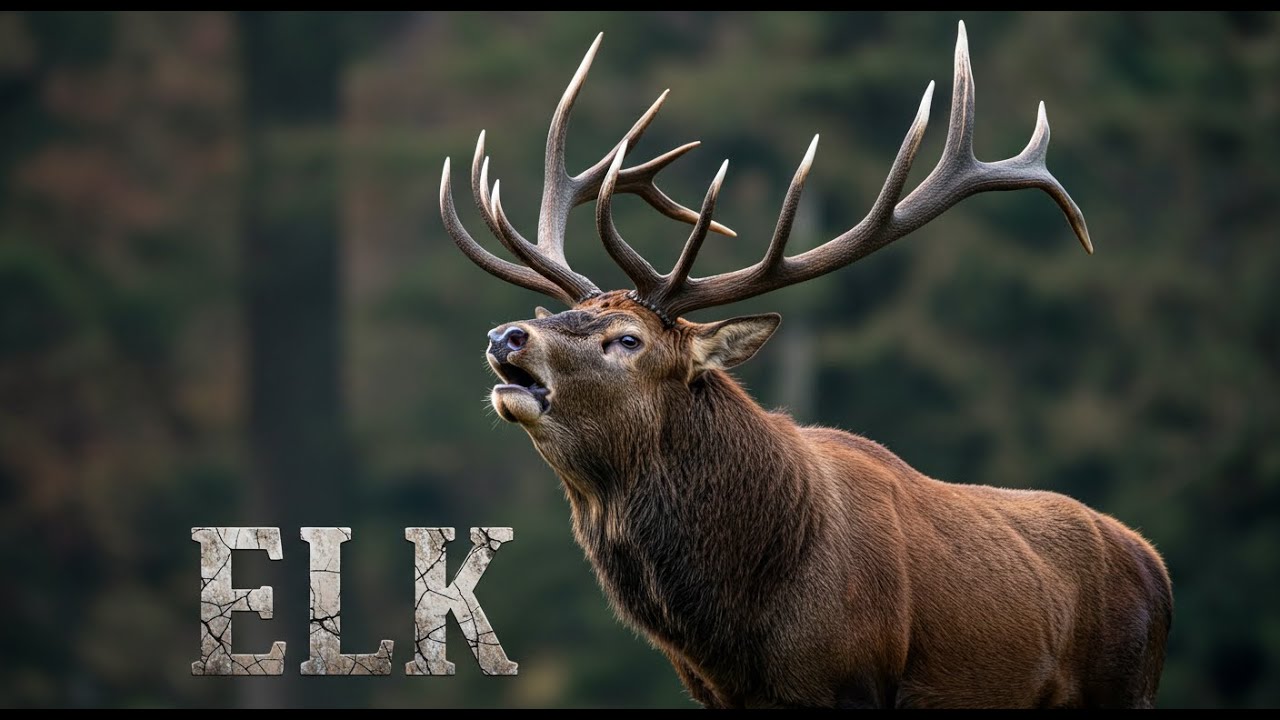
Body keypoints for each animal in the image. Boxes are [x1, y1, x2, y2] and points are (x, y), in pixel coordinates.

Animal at [437, 23, 1171, 709]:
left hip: (1123, 687)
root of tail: (1157, 569)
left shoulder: (852, 680)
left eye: (627, 339)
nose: (507, 336)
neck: (743, 627)